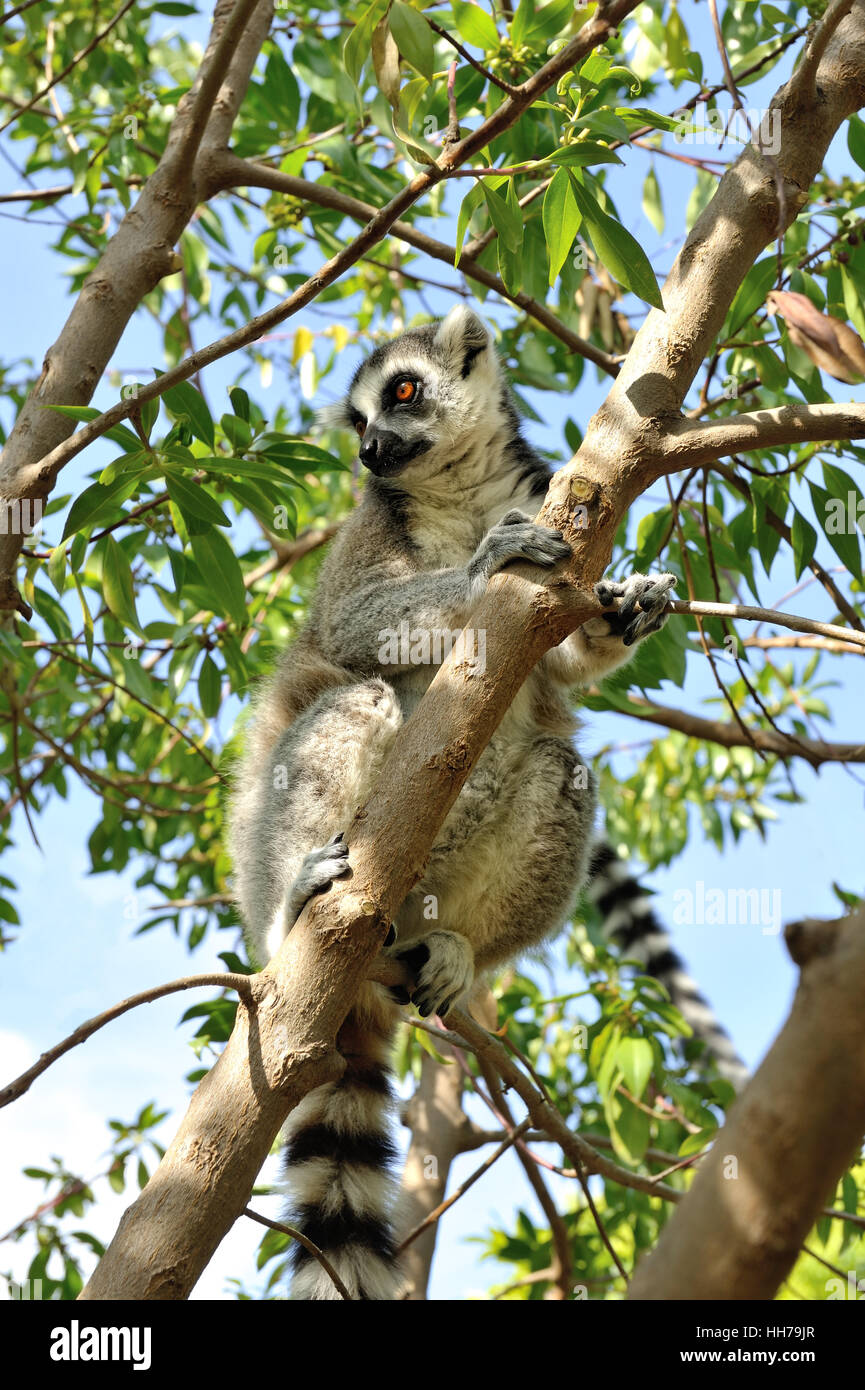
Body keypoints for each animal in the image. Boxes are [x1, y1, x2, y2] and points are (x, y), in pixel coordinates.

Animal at [227, 305, 745, 1299]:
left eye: (400, 394)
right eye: (356, 424)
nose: (370, 453)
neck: (459, 488)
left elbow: (563, 664)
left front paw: (628, 606)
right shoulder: (370, 539)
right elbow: (350, 627)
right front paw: (486, 559)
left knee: (558, 768)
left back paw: (459, 949)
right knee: (357, 700)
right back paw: (294, 909)